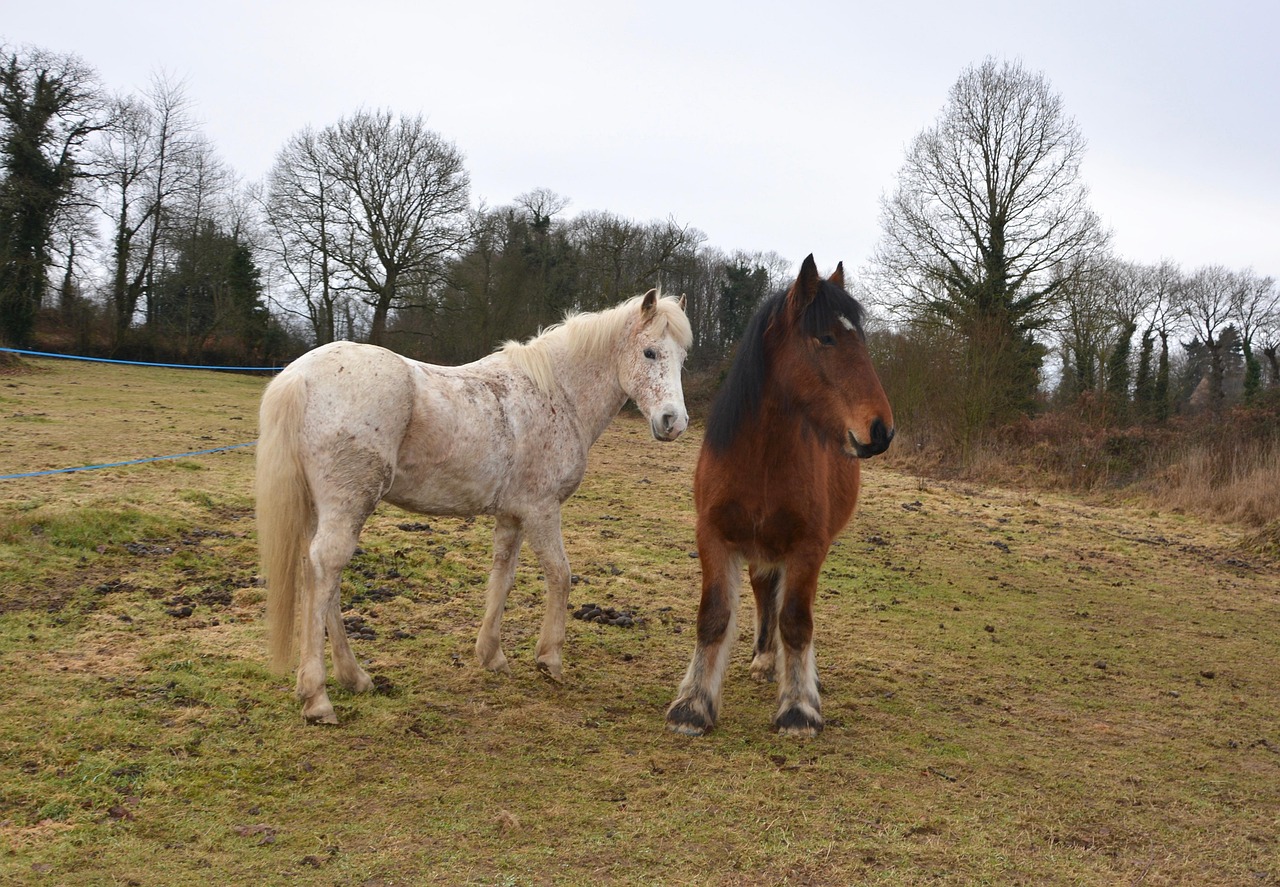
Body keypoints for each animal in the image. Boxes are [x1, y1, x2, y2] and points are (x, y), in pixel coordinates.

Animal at [257, 290, 692, 724]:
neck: (557, 395)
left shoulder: (511, 516)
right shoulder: (542, 510)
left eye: (682, 357)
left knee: (319, 576)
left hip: (323, 509)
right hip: (348, 505)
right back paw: (318, 698)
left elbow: (502, 578)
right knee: (326, 572)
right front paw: (549, 659)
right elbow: (560, 576)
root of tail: (299, 375)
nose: (674, 422)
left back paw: (354, 678)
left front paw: (491, 655)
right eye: (650, 352)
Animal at [666, 256, 894, 737]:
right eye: (826, 337)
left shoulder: (808, 547)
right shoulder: (714, 537)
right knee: (762, 590)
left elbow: (797, 622)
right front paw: (692, 706)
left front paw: (799, 707)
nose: (881, 430)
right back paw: (764, 658)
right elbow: (713, 617)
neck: (762, 461)